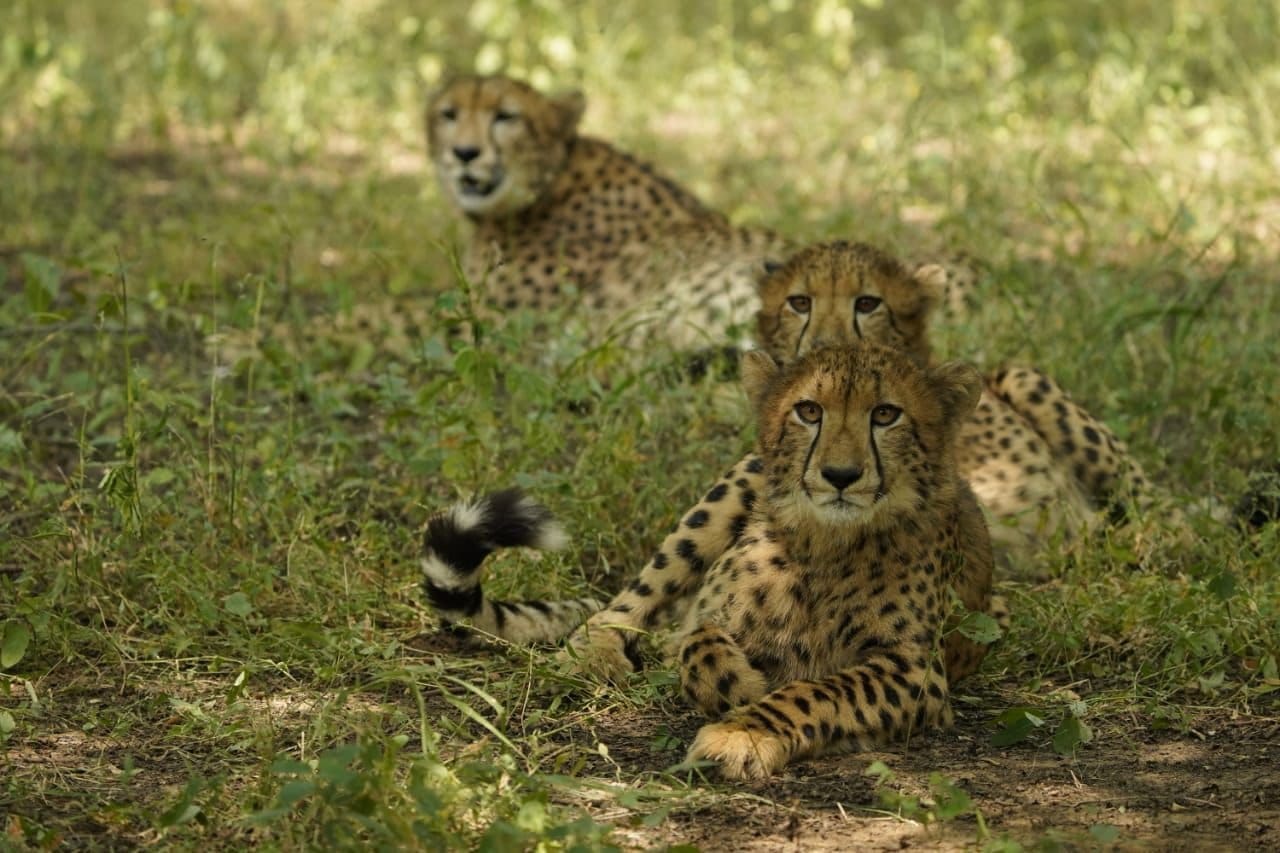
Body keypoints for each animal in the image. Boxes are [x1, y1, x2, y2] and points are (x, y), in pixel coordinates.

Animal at [423, 342, 1000, 779]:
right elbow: (698, 639)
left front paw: (743, 730)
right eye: (809, 411)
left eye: (885, 414)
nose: (840, 475)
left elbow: (817, 690)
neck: (823, 542)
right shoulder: (711, 614)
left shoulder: (915, 670)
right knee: (622, 608)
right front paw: (738, 687)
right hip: (730, 490)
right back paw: (596, 655)